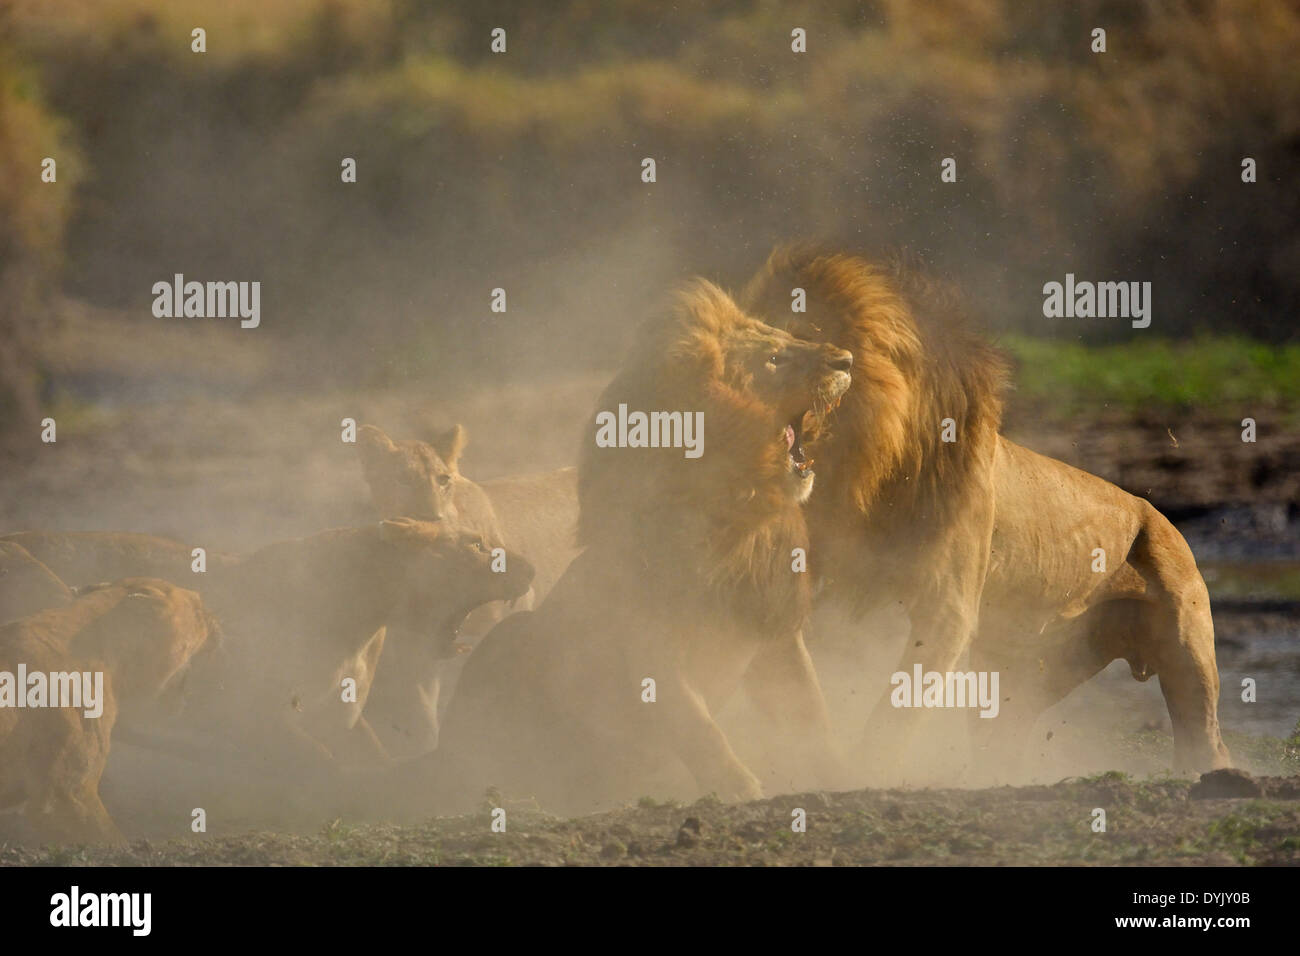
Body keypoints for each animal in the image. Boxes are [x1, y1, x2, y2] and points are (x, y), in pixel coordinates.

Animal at [419, 281, 854, 814]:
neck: (733, 527)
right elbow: (695, 724)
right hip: (512, 637)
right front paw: (738, 788)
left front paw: (848, 774)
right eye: (774, 357)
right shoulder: (648, 644)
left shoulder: (774, 631)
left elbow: (811, 715)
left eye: (784, 337)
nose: (847, 359)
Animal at [741, 246, 1231, 774]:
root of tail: (1153, 511)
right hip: (1025, 674)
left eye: (805, 332)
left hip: (1186, 653)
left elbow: (892, 714)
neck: (861, 478)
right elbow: (800, 690)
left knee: (1204, 737)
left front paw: (864, 771)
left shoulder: (947, 607)